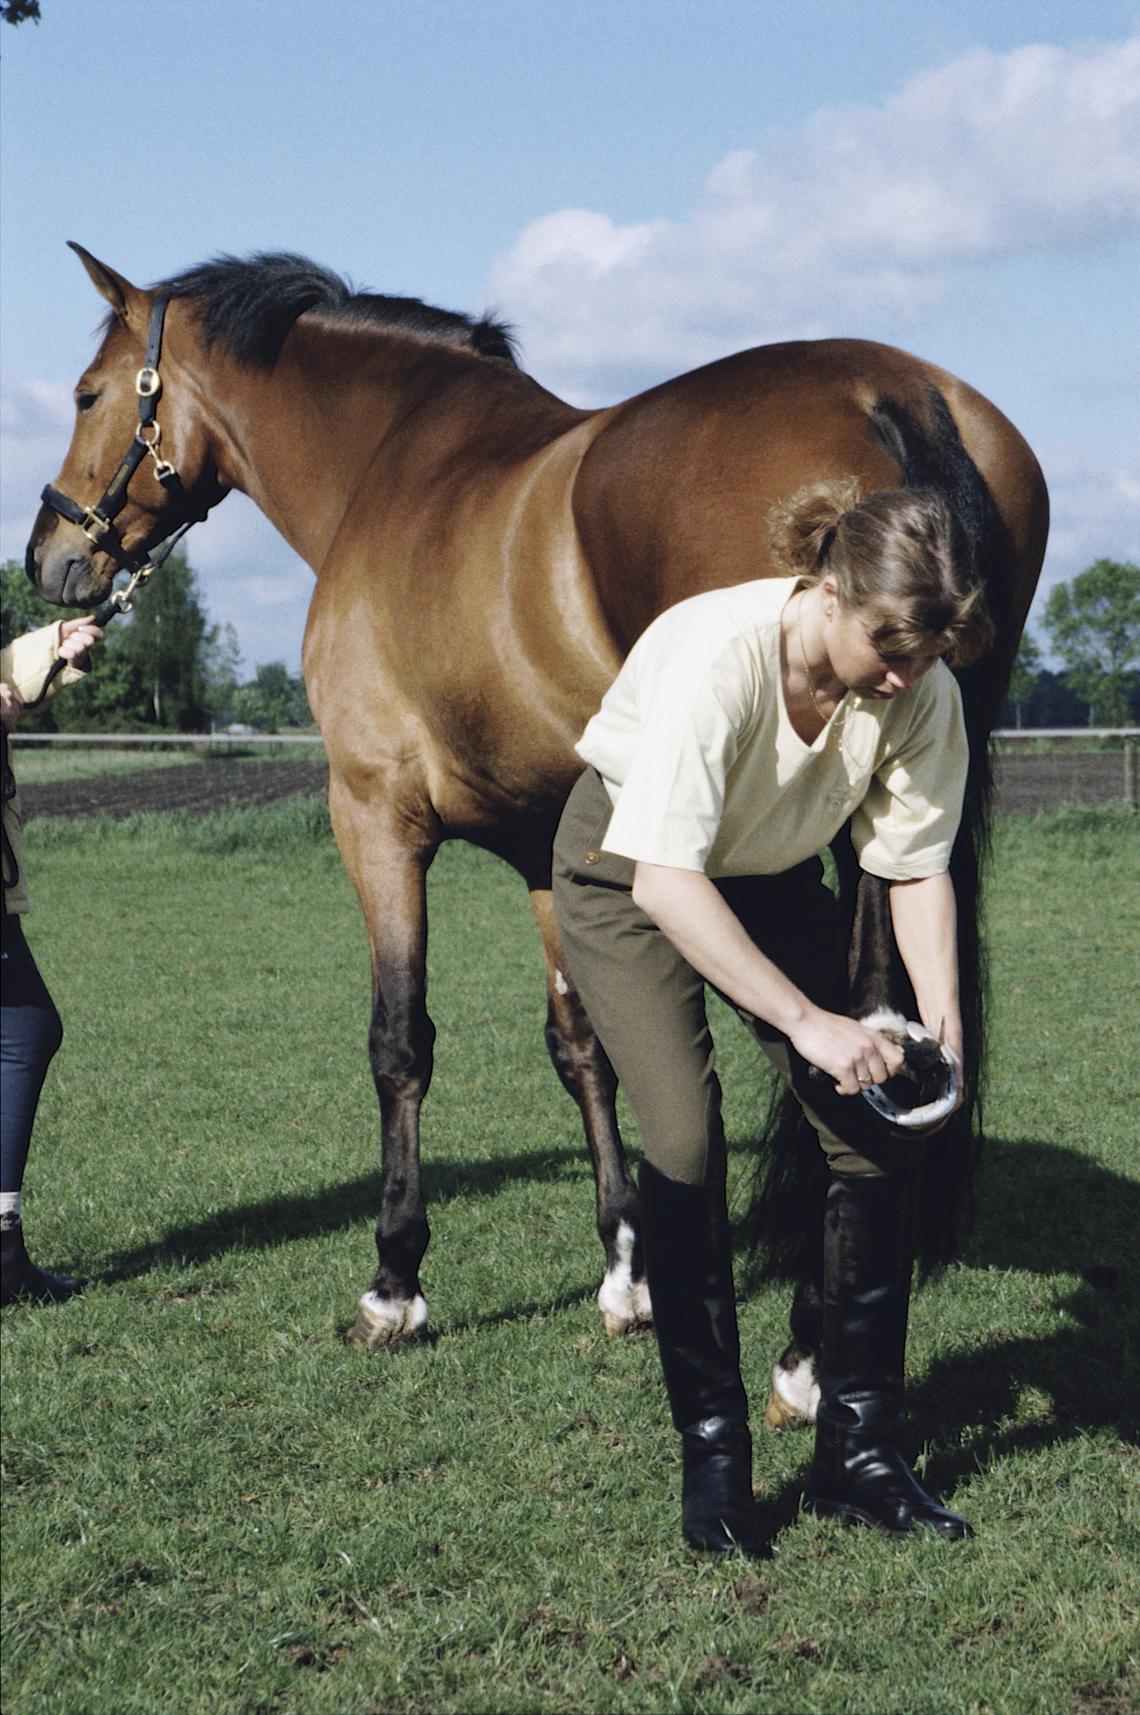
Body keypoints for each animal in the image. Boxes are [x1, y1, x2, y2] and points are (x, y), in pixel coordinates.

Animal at [25, 246, 1048, 1372]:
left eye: (85, 395)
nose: (48, 557)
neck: (391, 463)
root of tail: (895, 392)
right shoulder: (548, 843)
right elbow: (583, 1044)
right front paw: (626, 1270)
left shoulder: (375, 816)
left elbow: (400, 1042)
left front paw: (395, 1283)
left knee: (842, 1038)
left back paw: (811, 1353)